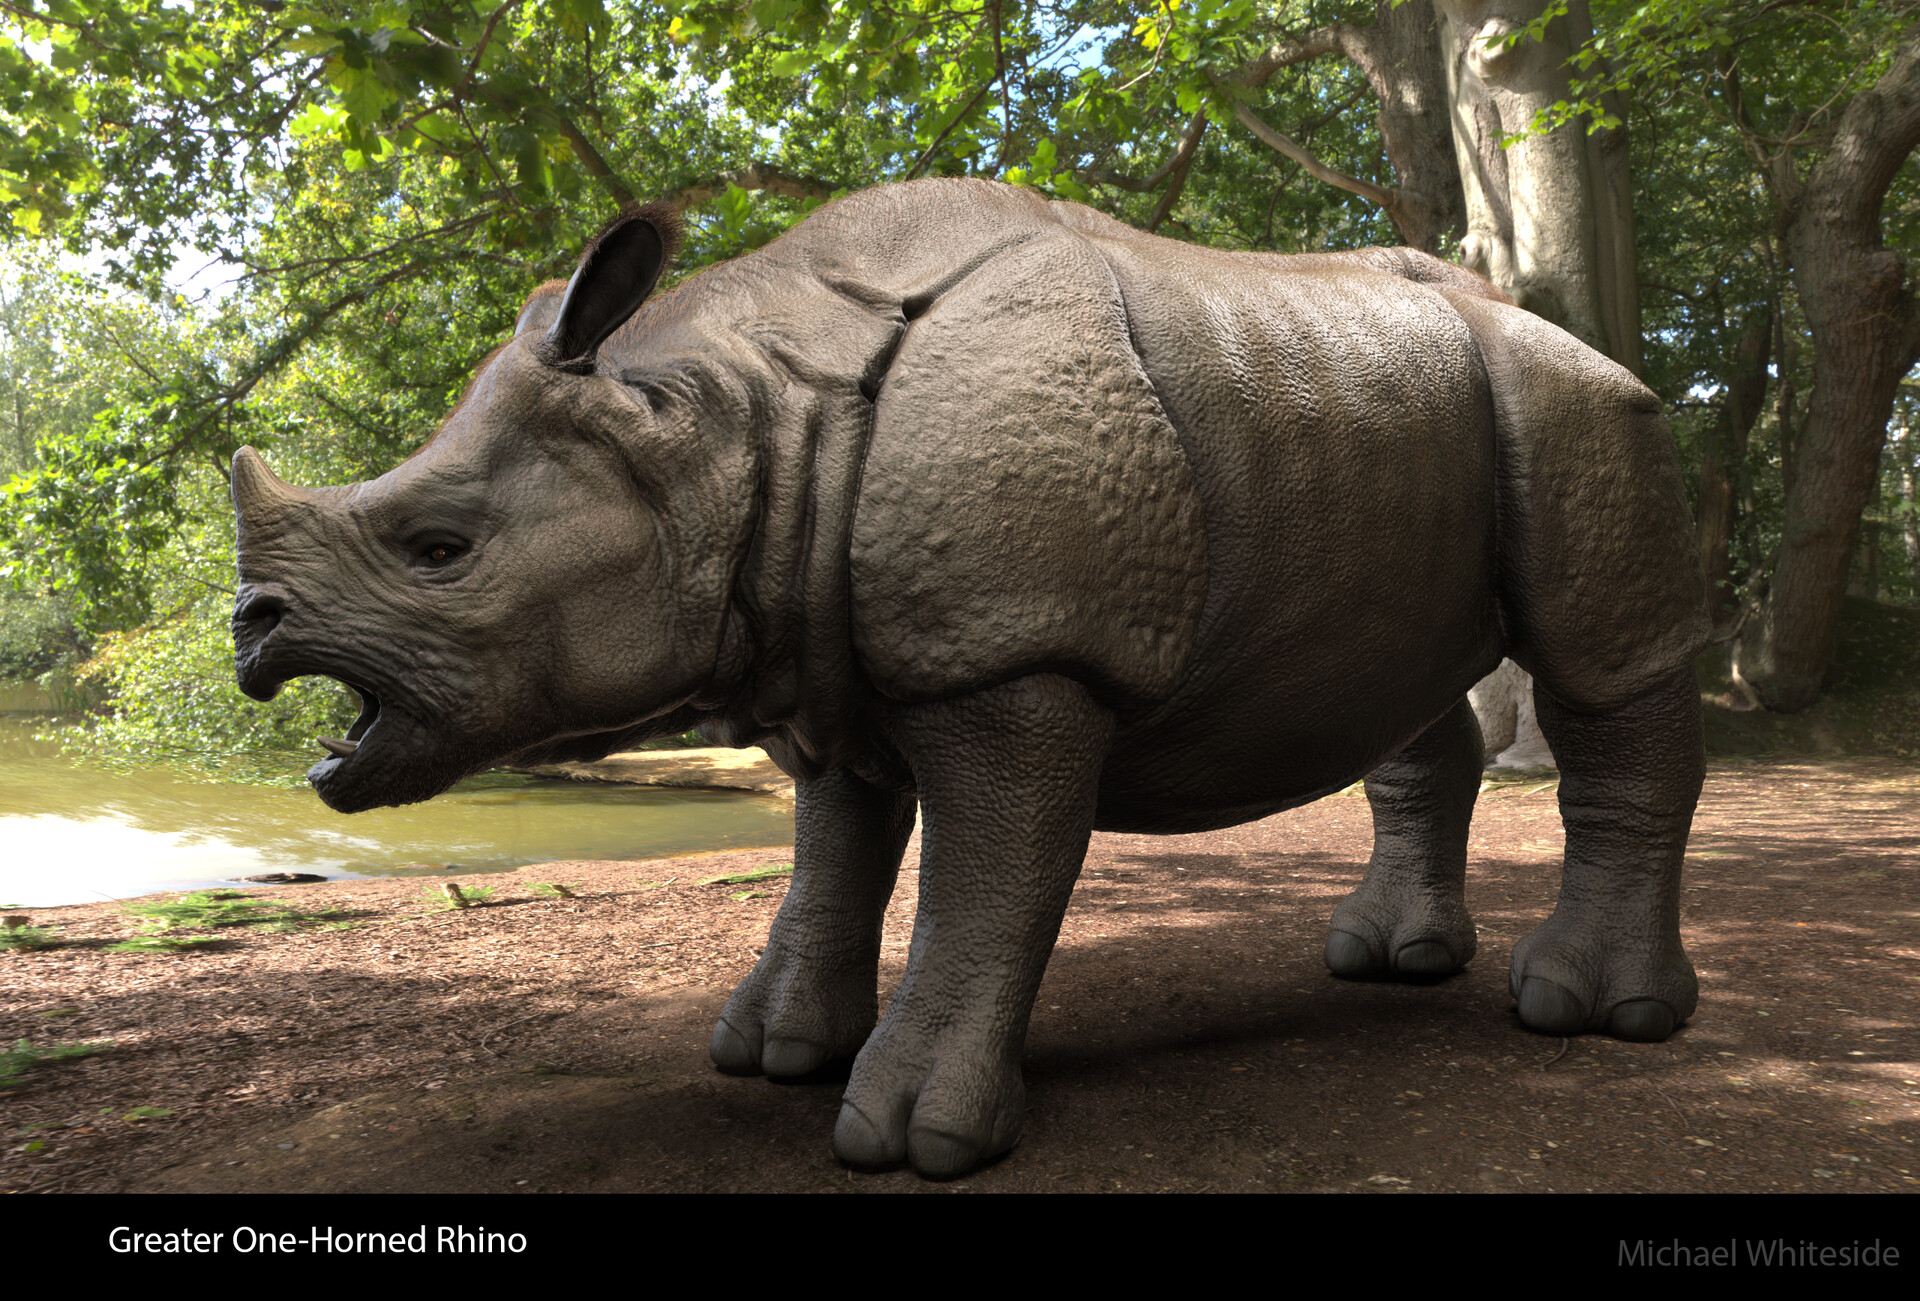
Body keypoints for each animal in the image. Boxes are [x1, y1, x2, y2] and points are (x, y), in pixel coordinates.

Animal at [231, 178, 1708, 1179]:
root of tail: (1557, 332)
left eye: (440, 548)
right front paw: (770, 1051)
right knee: (1402, 683)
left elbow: (986, 882)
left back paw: (1596, 1014)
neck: (732, 416)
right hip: (1370, 410)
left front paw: (911, 1134)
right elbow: (832, 859)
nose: (249, 632)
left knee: (1602, 660)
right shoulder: (817, 661)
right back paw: (1386, 965)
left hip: (1577, 407)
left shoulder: (1016, 648)